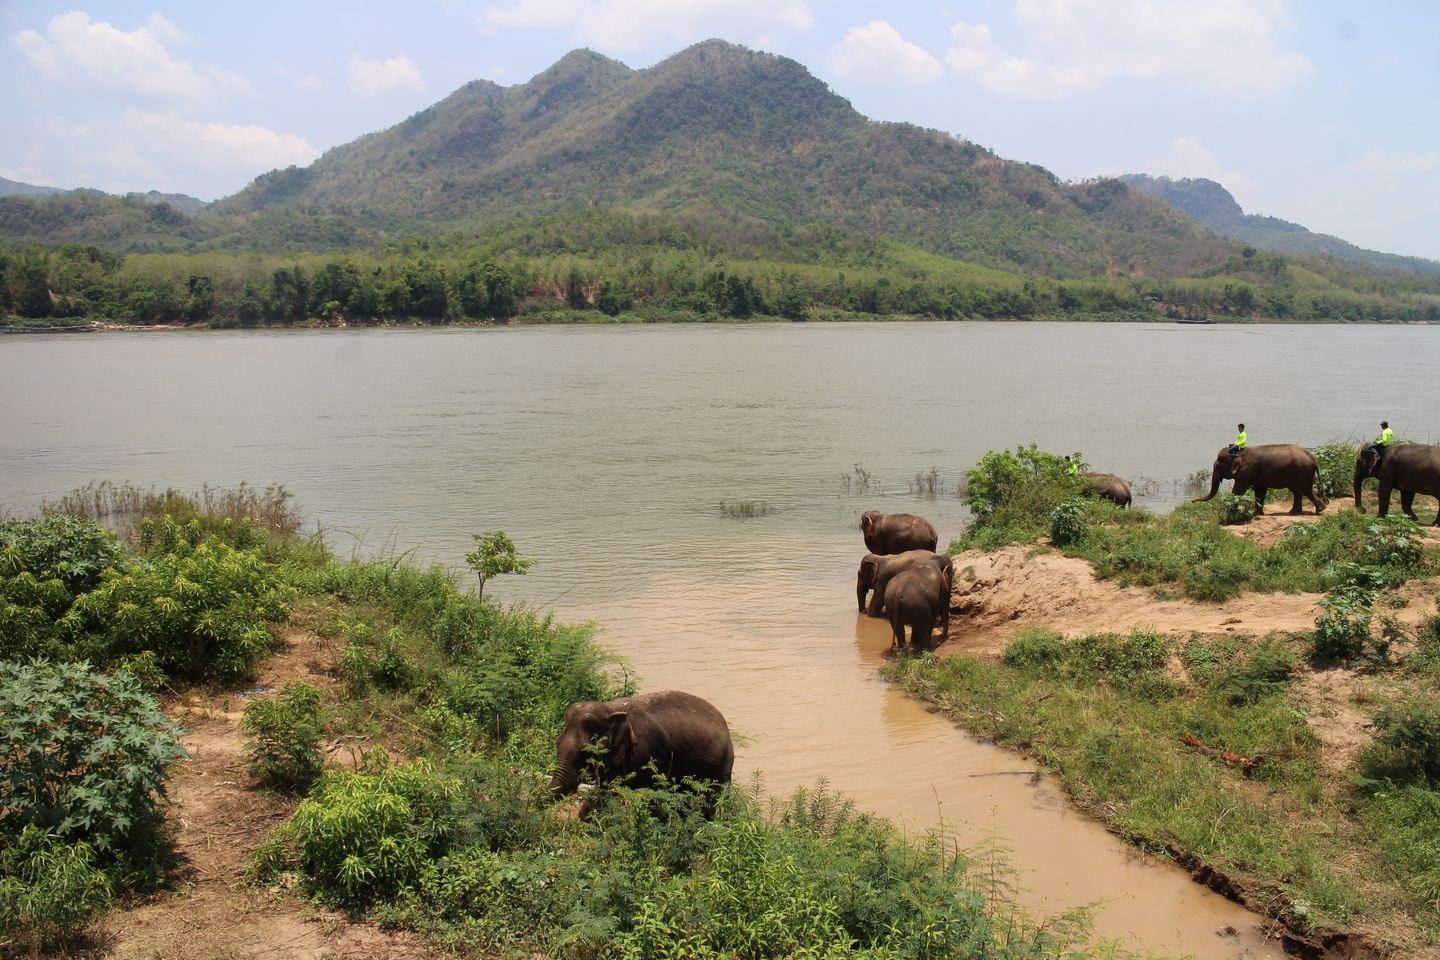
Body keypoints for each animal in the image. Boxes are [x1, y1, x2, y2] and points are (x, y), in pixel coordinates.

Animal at [549, 690, 734, 816]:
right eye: (556, 742)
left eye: (585, 752)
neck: (611, 708)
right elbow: (604, 789)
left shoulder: (647, 755)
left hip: (721, 768)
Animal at [1193, 443, 1327, 515]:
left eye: (1218, 466)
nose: (1192, 500)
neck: (1238, 453)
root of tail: (1313, 458)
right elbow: (1260, 491)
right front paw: (1256, 514)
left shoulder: (1246, 471)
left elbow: (1238, 490)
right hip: (1307, 473)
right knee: (1307, 491)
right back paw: (1321, 509)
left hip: (1301, 471)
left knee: (1298, 492)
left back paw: (1294, 513)